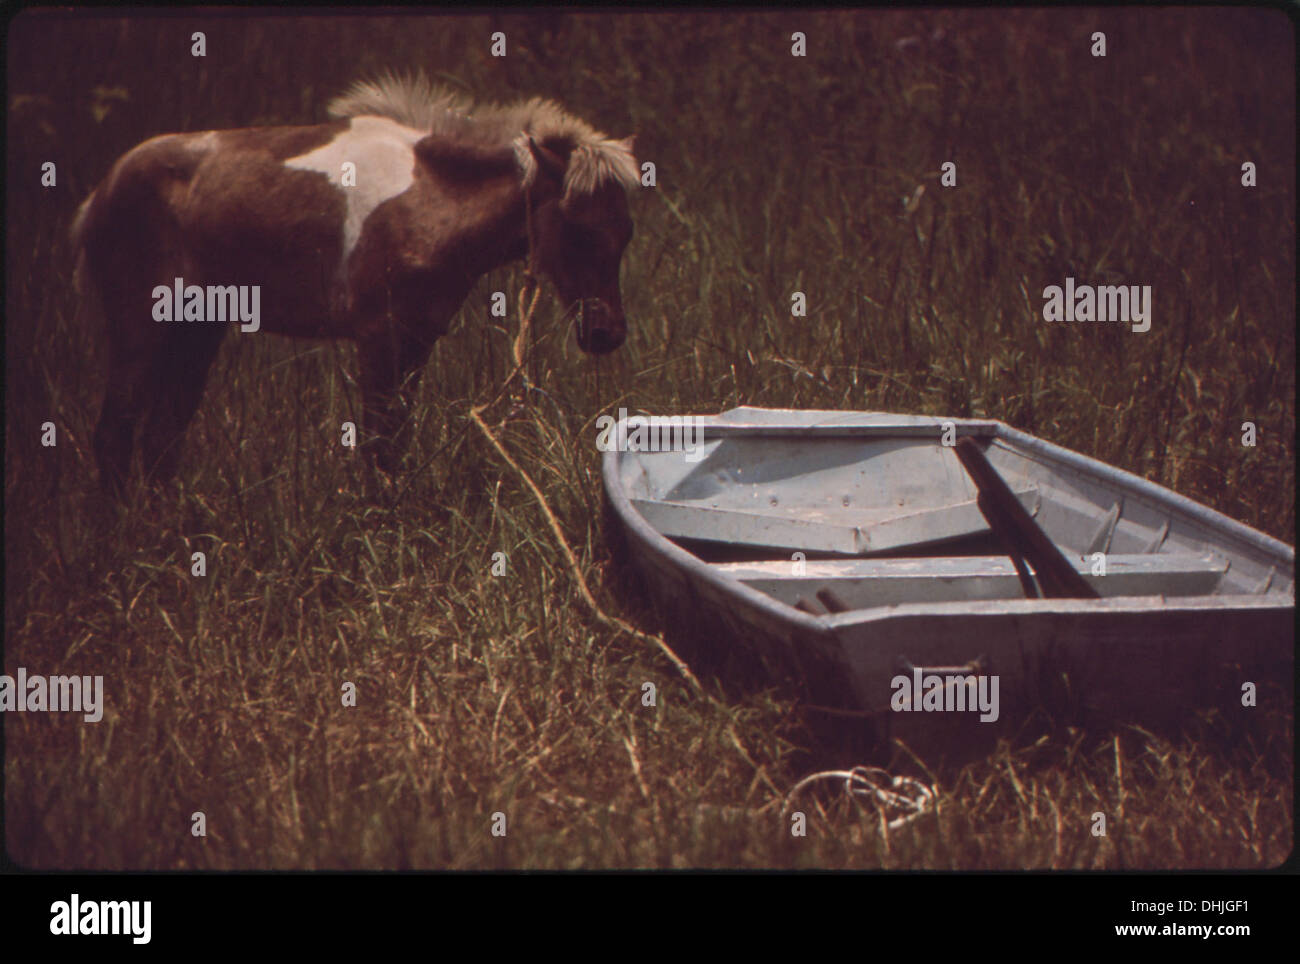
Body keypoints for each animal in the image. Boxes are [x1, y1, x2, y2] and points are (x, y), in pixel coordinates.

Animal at [71, 74, 639, 492]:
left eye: (625, 231)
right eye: (577, 228)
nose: (606, 333)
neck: (432, 195)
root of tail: (101, 194)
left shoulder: (416, 337)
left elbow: (396, 443)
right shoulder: (379, 338)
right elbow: (379, 447)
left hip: (196, 332)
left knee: (160, 439)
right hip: (140, 327)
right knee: (115, 434)